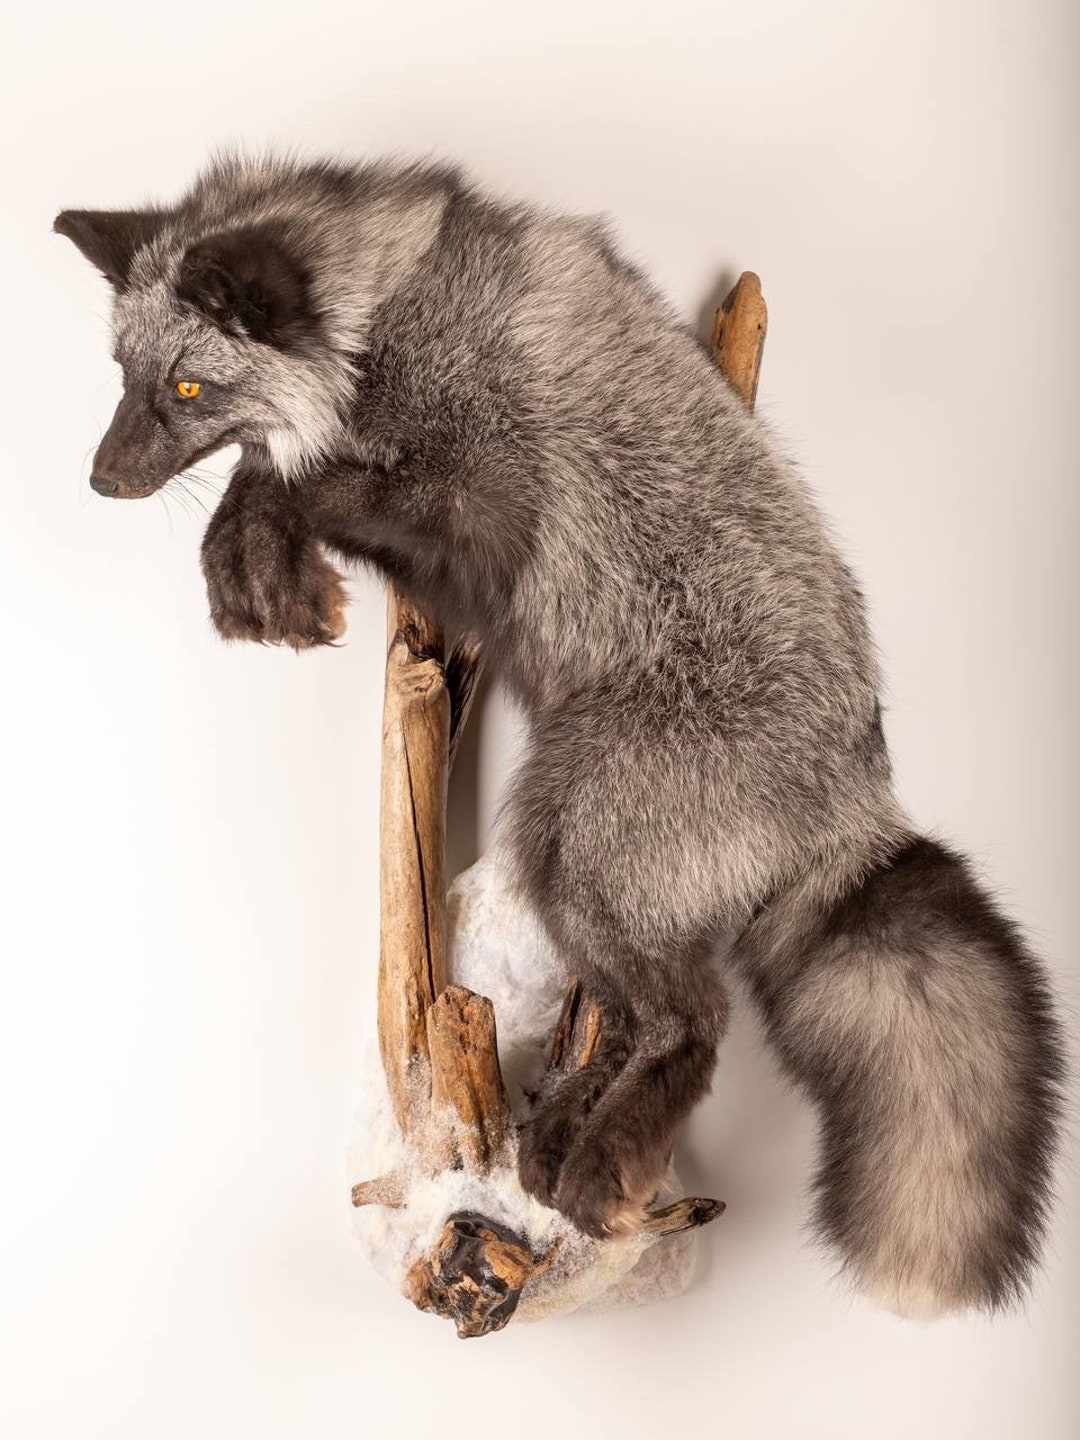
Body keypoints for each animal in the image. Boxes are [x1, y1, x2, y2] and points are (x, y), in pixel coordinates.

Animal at [55, 152, 1063, 1317]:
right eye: (122, 373)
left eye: (186, 388)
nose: (99, 479)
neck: (399, 311)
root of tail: (856, 790)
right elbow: (287, 475)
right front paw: (260, 569)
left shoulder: (487, 508)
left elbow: (292, 477)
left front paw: (255, 555)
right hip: (579, 861)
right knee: (634, 1014)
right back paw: (559, 1139)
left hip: (569, 830)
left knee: (691, 1020)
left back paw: (597, 1167)